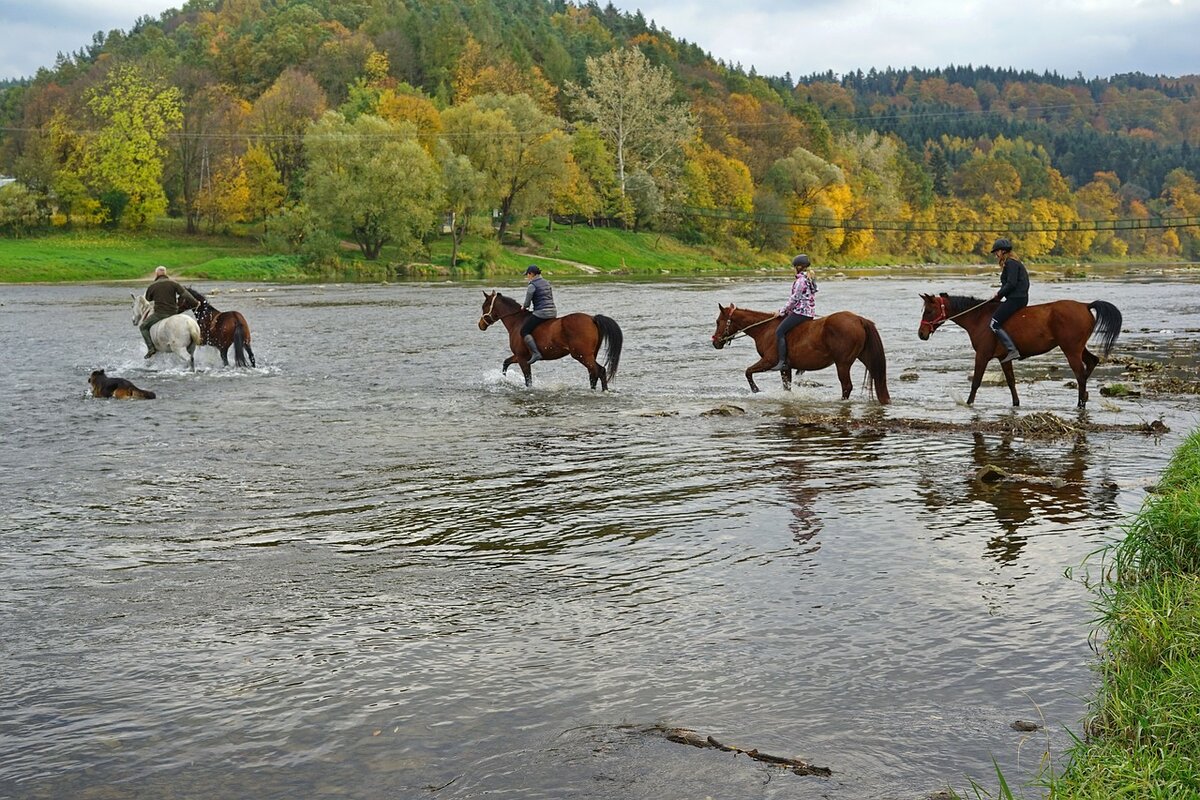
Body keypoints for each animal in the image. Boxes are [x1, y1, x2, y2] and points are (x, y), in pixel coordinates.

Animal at [480, 291, 628, 391]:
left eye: (484, 306)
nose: (480, 325)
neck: (517, 321)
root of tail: (592, 318)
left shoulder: (522, 358)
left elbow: (528, 380)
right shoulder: (519, 356)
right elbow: (506, 363)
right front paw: (503, 380)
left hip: (582, 355)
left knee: (599, 371)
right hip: (590, 355)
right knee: (593, 373)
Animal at [710, 303, 892, 402]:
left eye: (718, 321)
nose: (715, 342)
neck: (765, 329)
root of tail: (859, 319)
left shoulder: (770, 361)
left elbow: (747, 372)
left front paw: (756, 391)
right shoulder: (786, 367)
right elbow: (787, 387)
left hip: (843, 364)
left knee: (846, 386)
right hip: (865, 357)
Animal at [916, 291, 1123, 410]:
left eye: (929, 311)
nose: (921, 334)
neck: (979, 318)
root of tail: (1085, 305)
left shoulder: (982, 356)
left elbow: (976, 382)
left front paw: (968, 403)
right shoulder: (1004, 358)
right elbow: (1011, 382)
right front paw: (1016, 404)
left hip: (1071, 350)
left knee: (1080, 375)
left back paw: (1080, 403)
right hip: (1078, 348)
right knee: (1091, 363)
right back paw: (1085, 396)